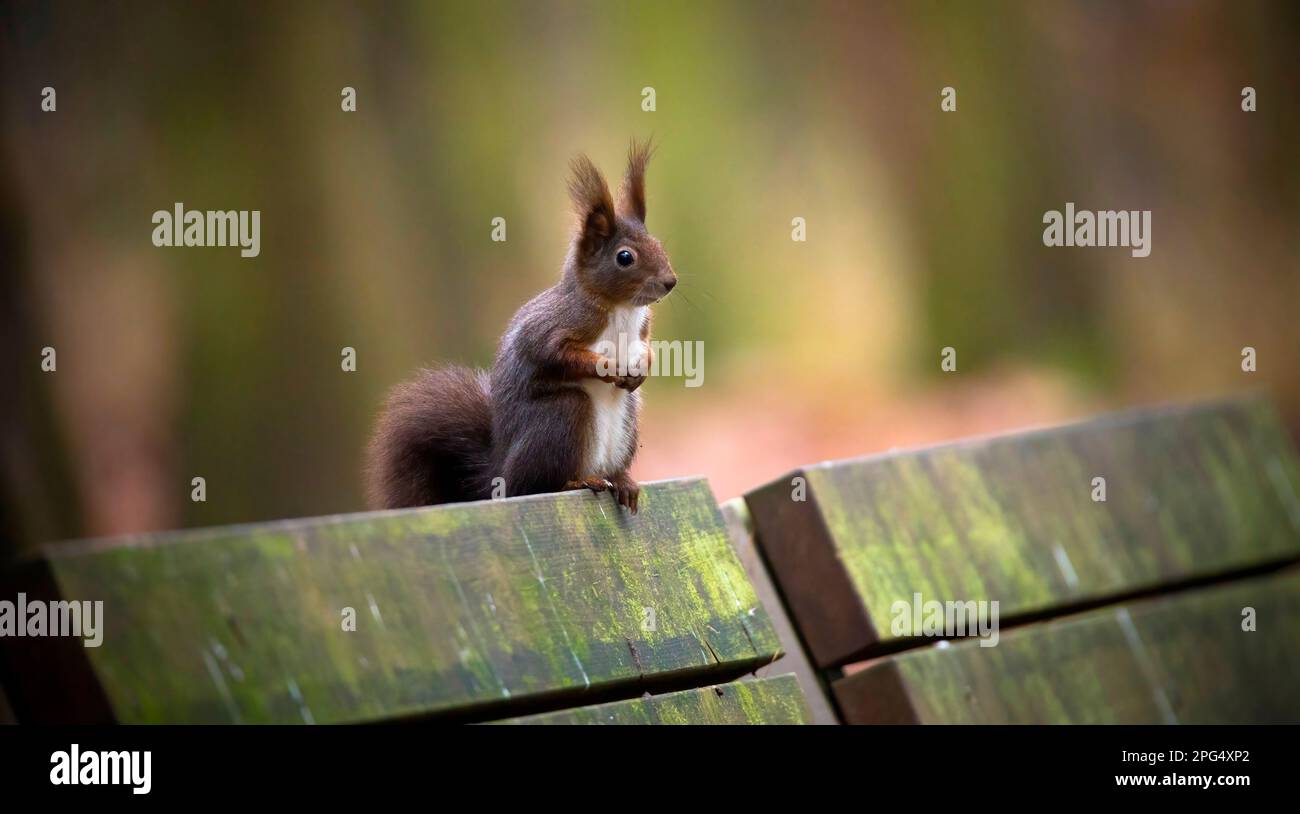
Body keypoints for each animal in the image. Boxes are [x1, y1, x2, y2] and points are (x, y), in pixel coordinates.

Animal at [365, 140, 676, 514]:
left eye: (658, 245)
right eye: (625, 257)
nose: (670, 282)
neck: (622, 308)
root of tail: (500, 472)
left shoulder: (642, 330)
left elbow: (646, 349)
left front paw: (642, 368)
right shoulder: (556, 326)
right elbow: (554, 354)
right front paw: (608, 368)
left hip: (627, 423)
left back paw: (622, 480)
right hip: (562, 416)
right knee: (535, 483)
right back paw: (577, 481)